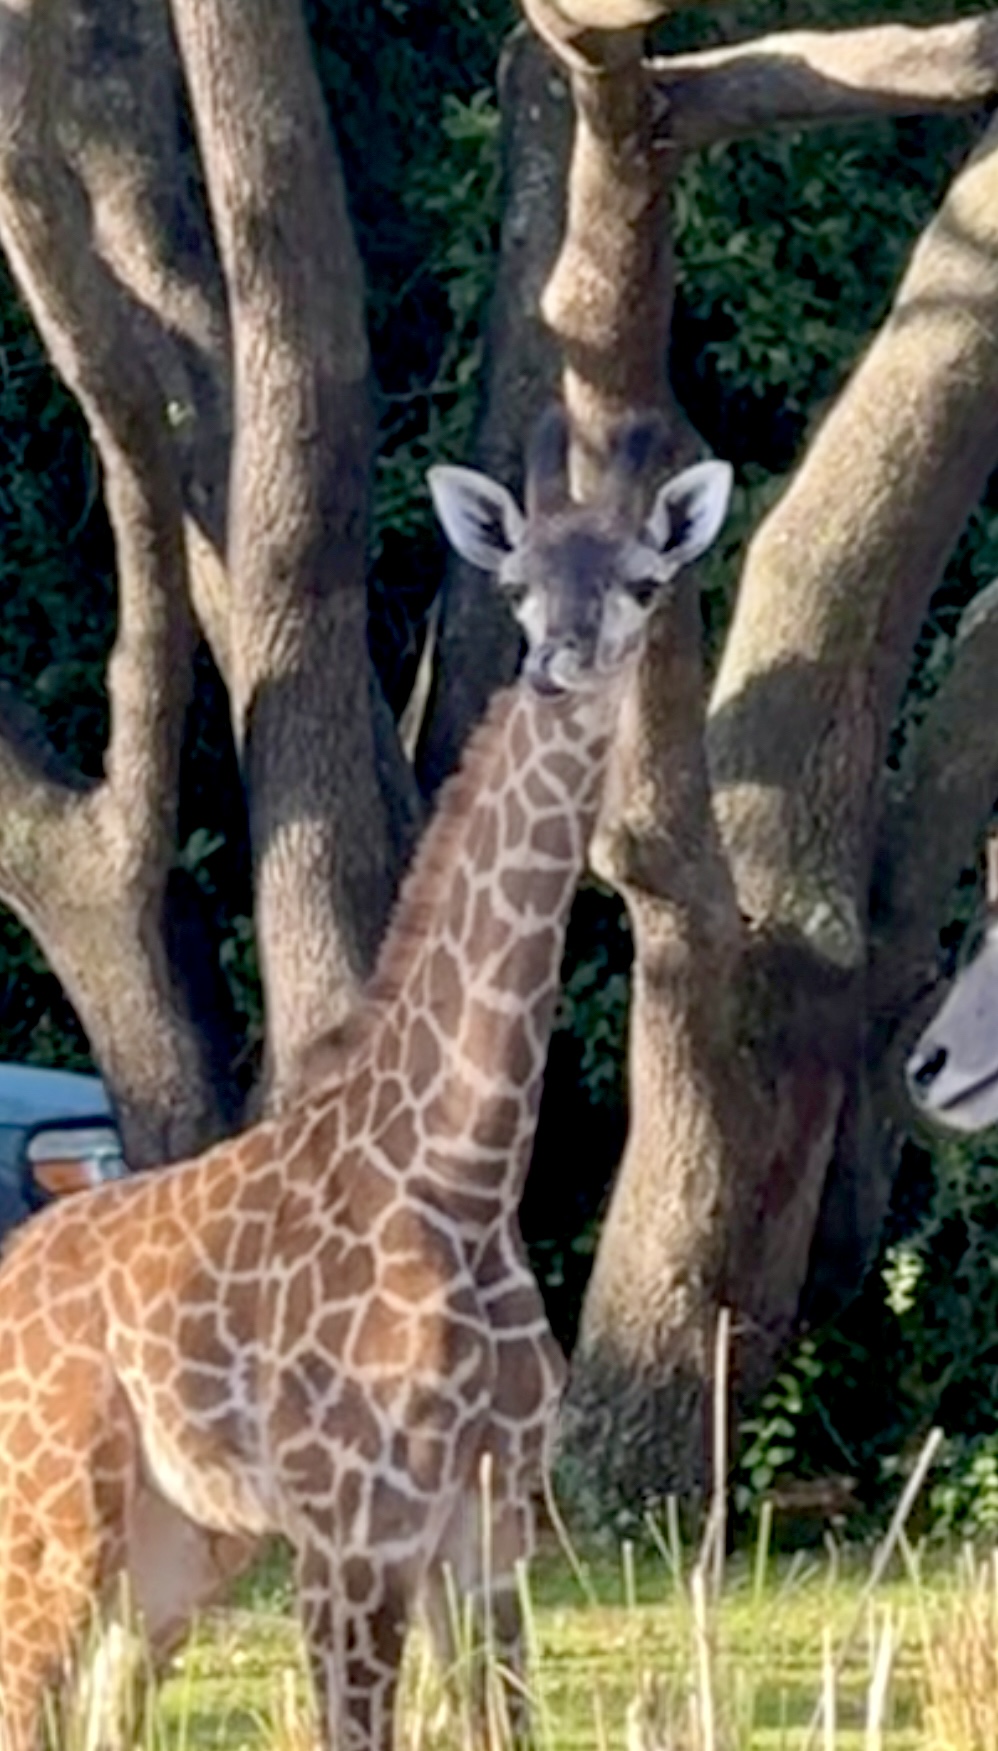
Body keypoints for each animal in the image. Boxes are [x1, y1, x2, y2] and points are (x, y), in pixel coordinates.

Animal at [0, 407, 732, 1751]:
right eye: (516, 584)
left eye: (642, 583)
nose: (557, 667)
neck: (467, 1174)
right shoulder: (353, 1527)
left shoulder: (487, 1526)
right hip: (58, 1512)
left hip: (179, 1546)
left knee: (101, 1711)